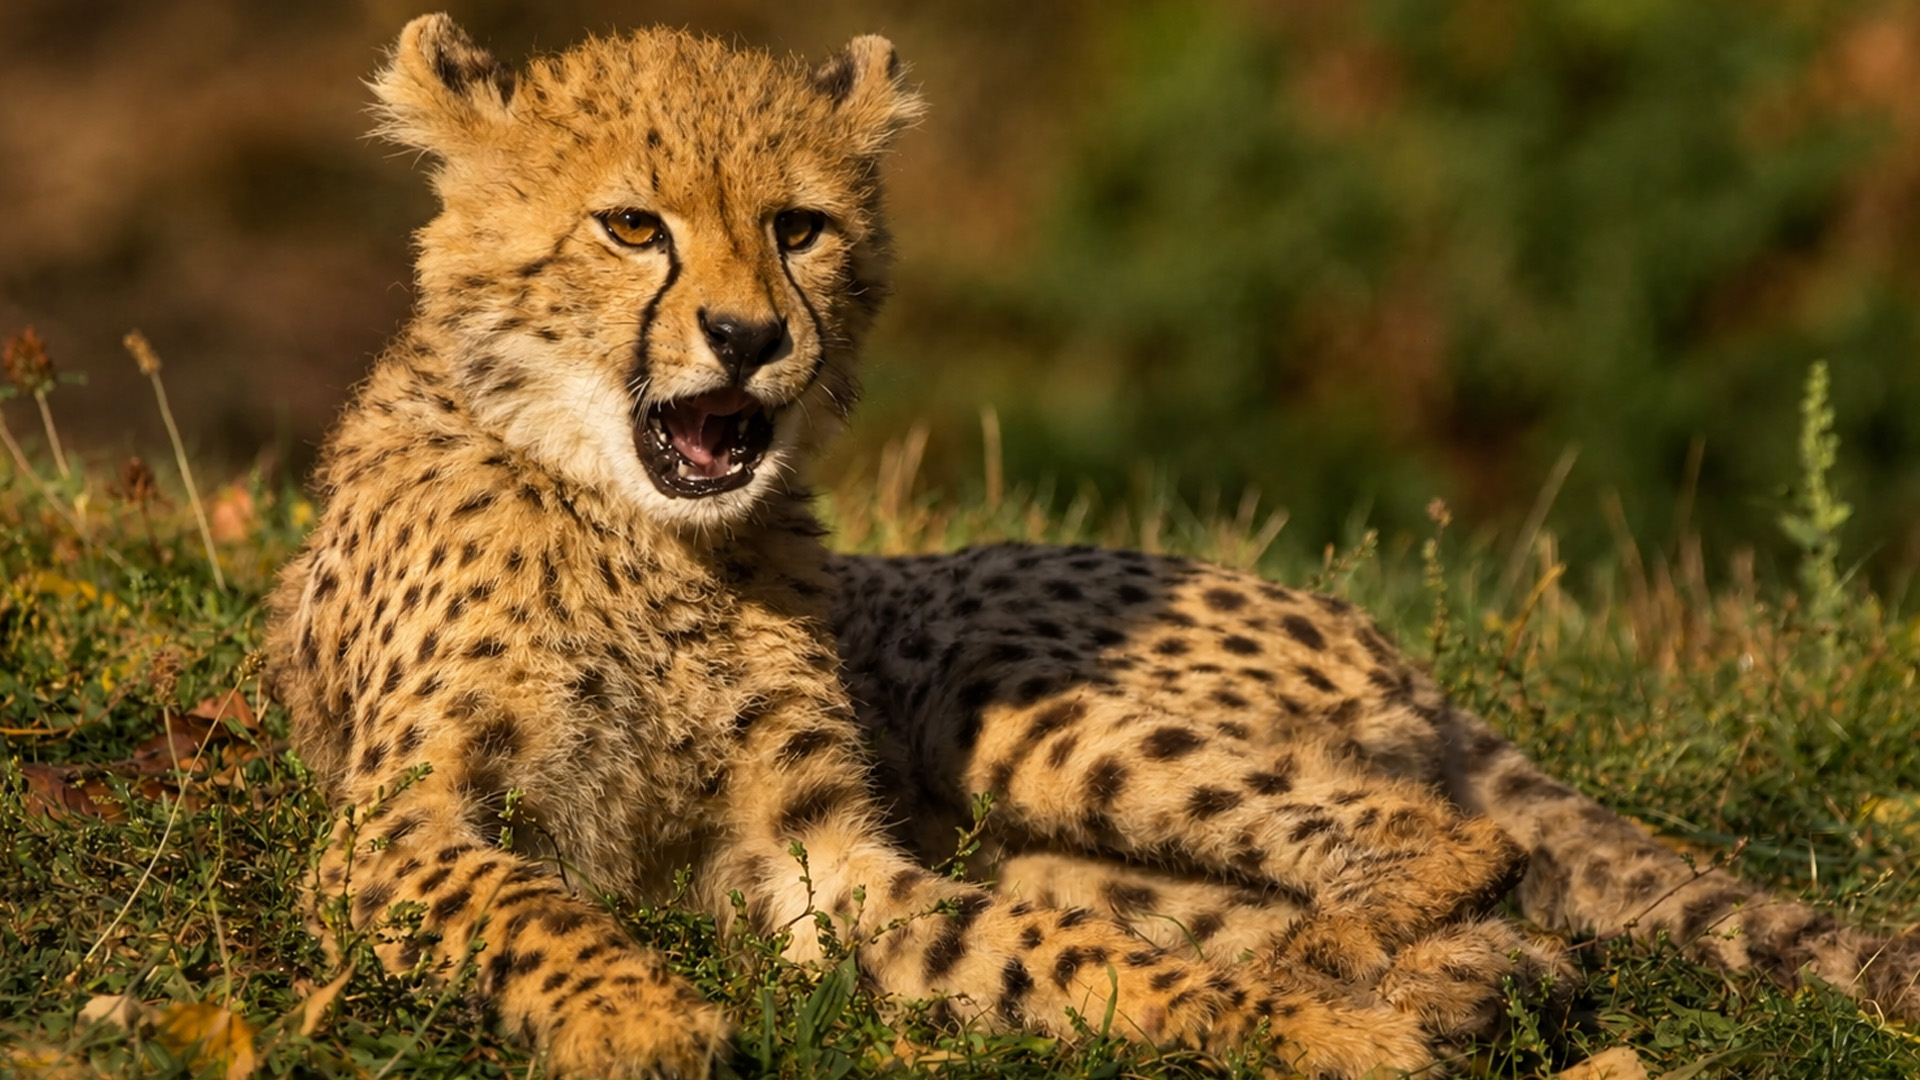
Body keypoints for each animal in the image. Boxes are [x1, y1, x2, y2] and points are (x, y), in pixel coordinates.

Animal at [264, 15, 1557, 1080]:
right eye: (632, 226)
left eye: (800, 230)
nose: (747, 337)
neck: (644, 538)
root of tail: (1398, 657)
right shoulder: (393, 830)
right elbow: (531, 908)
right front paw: (640, 1020)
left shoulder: (817, 857)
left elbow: (1058, 948)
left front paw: (1290, 1027)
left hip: (1002, 704)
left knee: (1448, 835)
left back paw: (1352, 962)